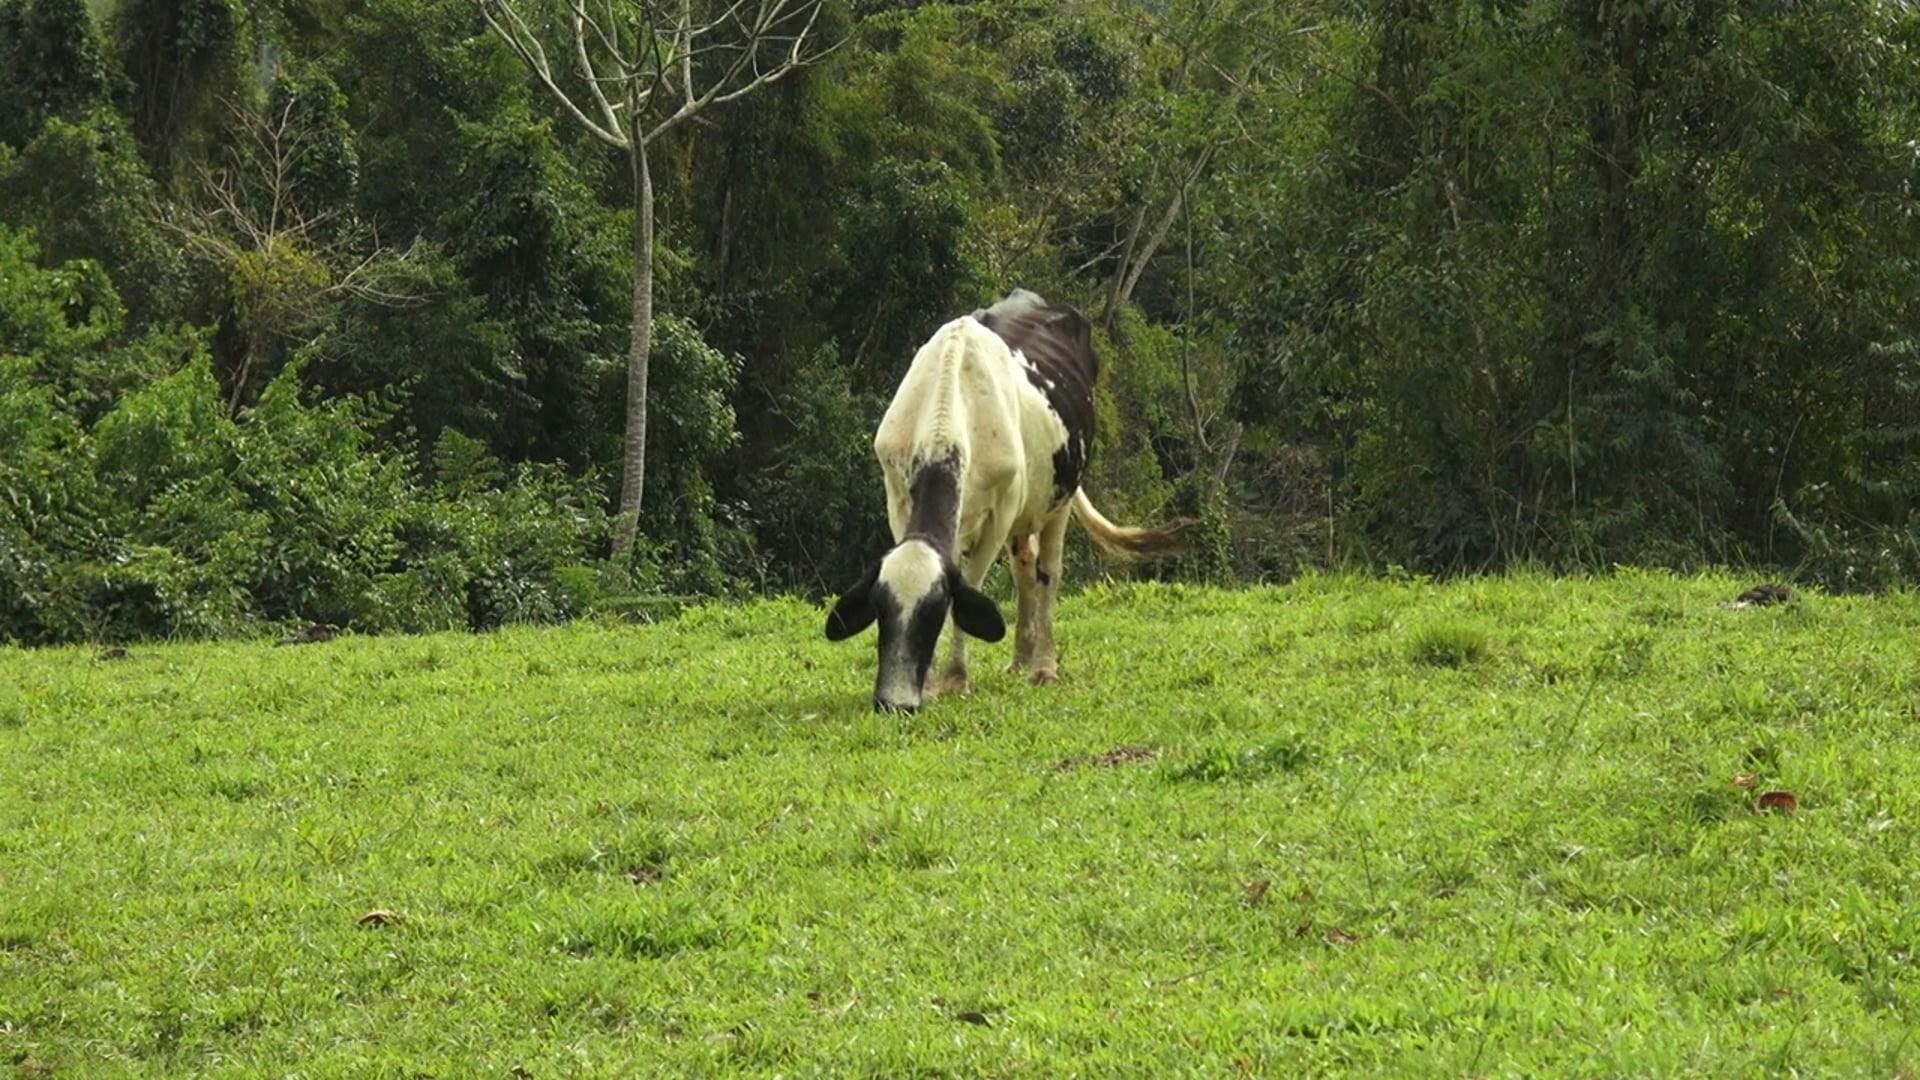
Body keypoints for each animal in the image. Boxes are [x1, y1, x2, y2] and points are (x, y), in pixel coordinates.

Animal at [824, 288, 1190, 713]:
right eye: (880, 609)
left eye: (935, 612)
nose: (895, 703)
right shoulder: (898, 500)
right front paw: (932, 682)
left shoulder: (997, 517)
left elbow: (971, 584)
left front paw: (956, 677)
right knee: (1024, 569)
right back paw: (1020, 660)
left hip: (1059, 498)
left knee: (1048, 571)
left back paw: (1044, 665)